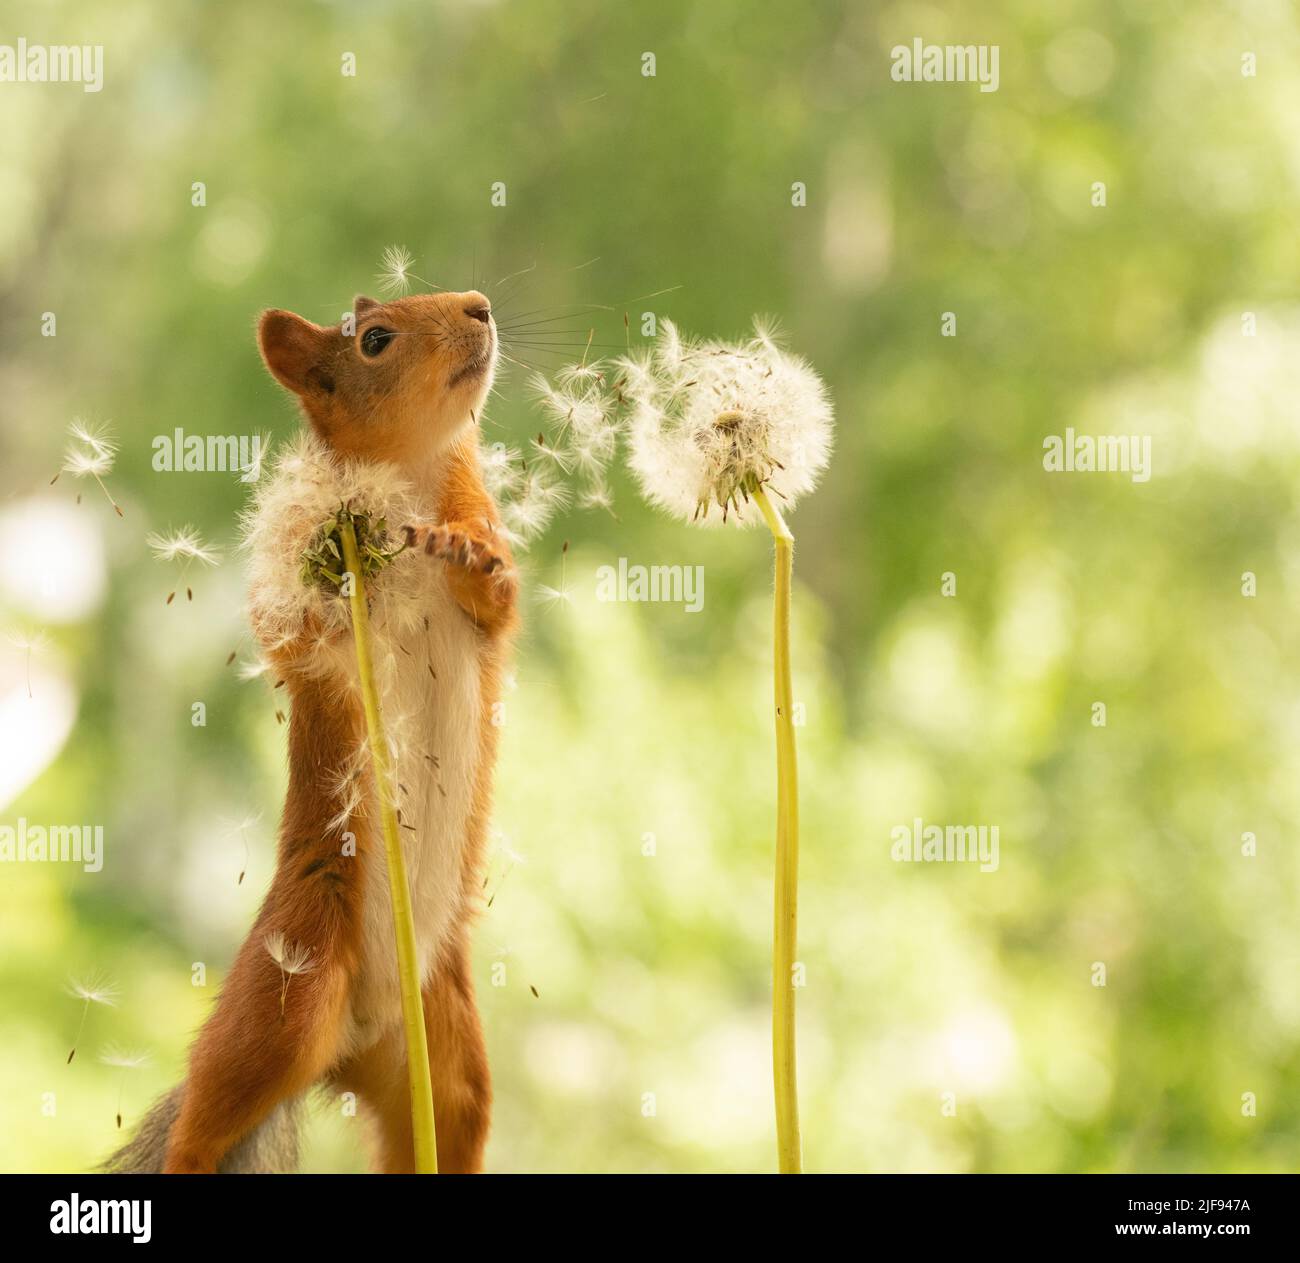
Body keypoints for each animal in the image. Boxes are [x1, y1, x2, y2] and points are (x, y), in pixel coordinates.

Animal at [108, 289, 516, 1174]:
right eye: (374, 338)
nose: (480, 305)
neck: (408, 478)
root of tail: (352, 1047)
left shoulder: (483, 532)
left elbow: (498, 595)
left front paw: (464, 552)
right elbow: (297, 636)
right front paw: (338, 591)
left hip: (450, 1068)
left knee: (443, 1129)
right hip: (285, 997)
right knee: (207, 1113)